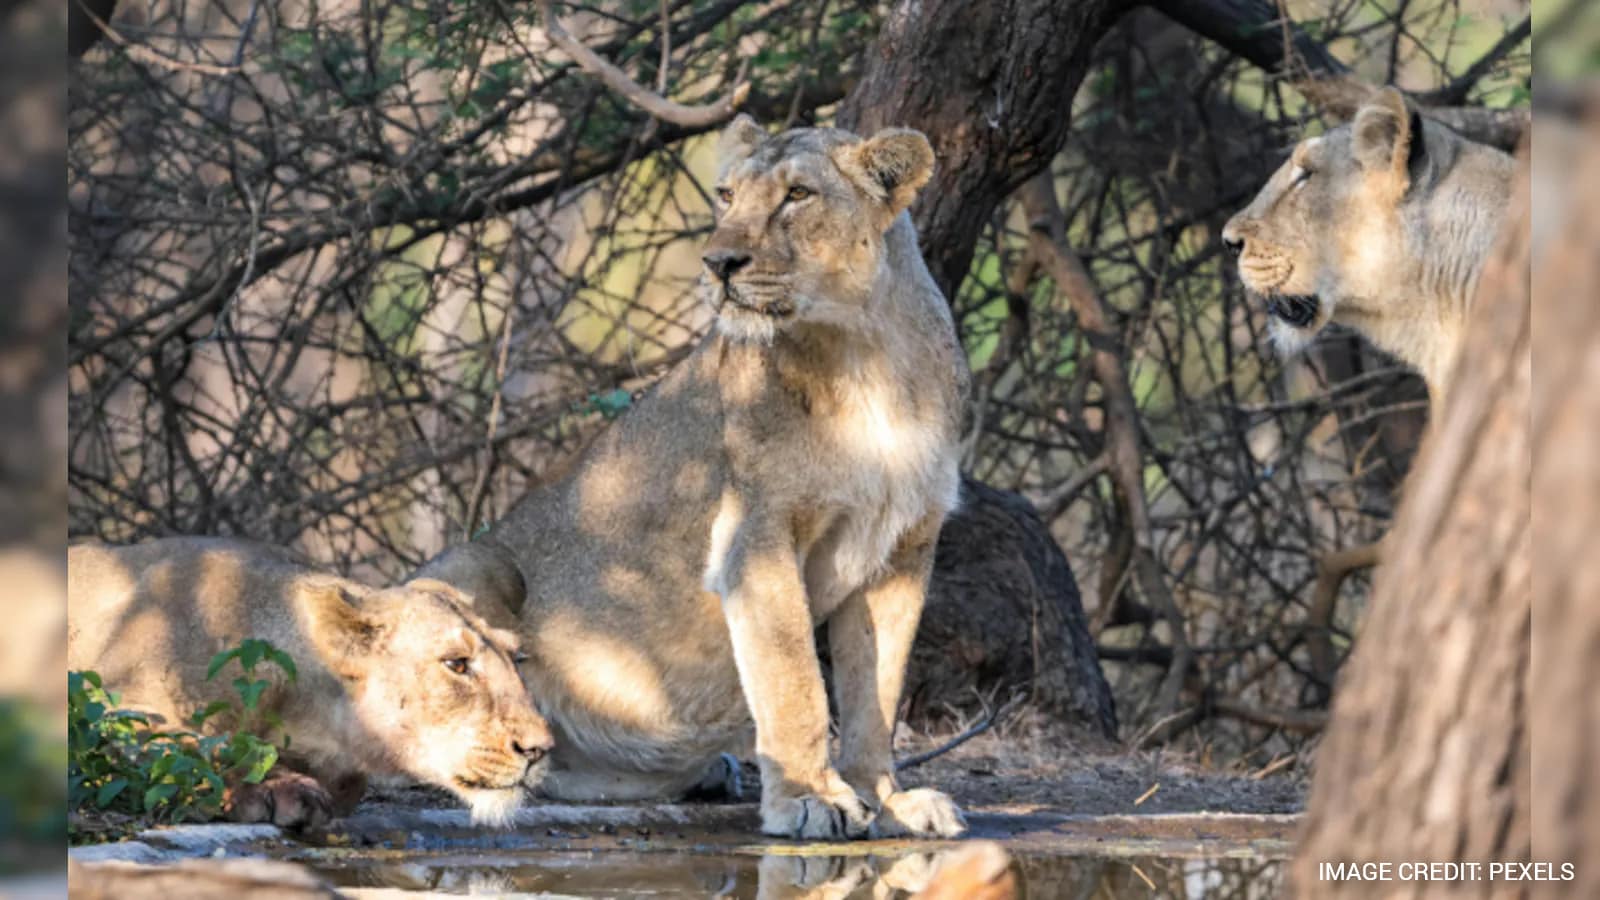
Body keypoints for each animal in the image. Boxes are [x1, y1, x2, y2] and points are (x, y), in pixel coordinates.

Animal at [67, 537, 554, 829]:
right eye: (456, 664)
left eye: (517, 659)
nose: (539, 750)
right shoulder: (113, 709)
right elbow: (192, 753)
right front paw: (275, 790)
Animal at [413, 116, 971, 839]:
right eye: (727, 196)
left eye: (797, 194)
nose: (719, 264)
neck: (866, 354)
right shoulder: (756, 535)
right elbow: (795, 681)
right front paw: (812, 799)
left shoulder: (905, 547)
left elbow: (876, 689)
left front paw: (887, 800)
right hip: (469, 567)